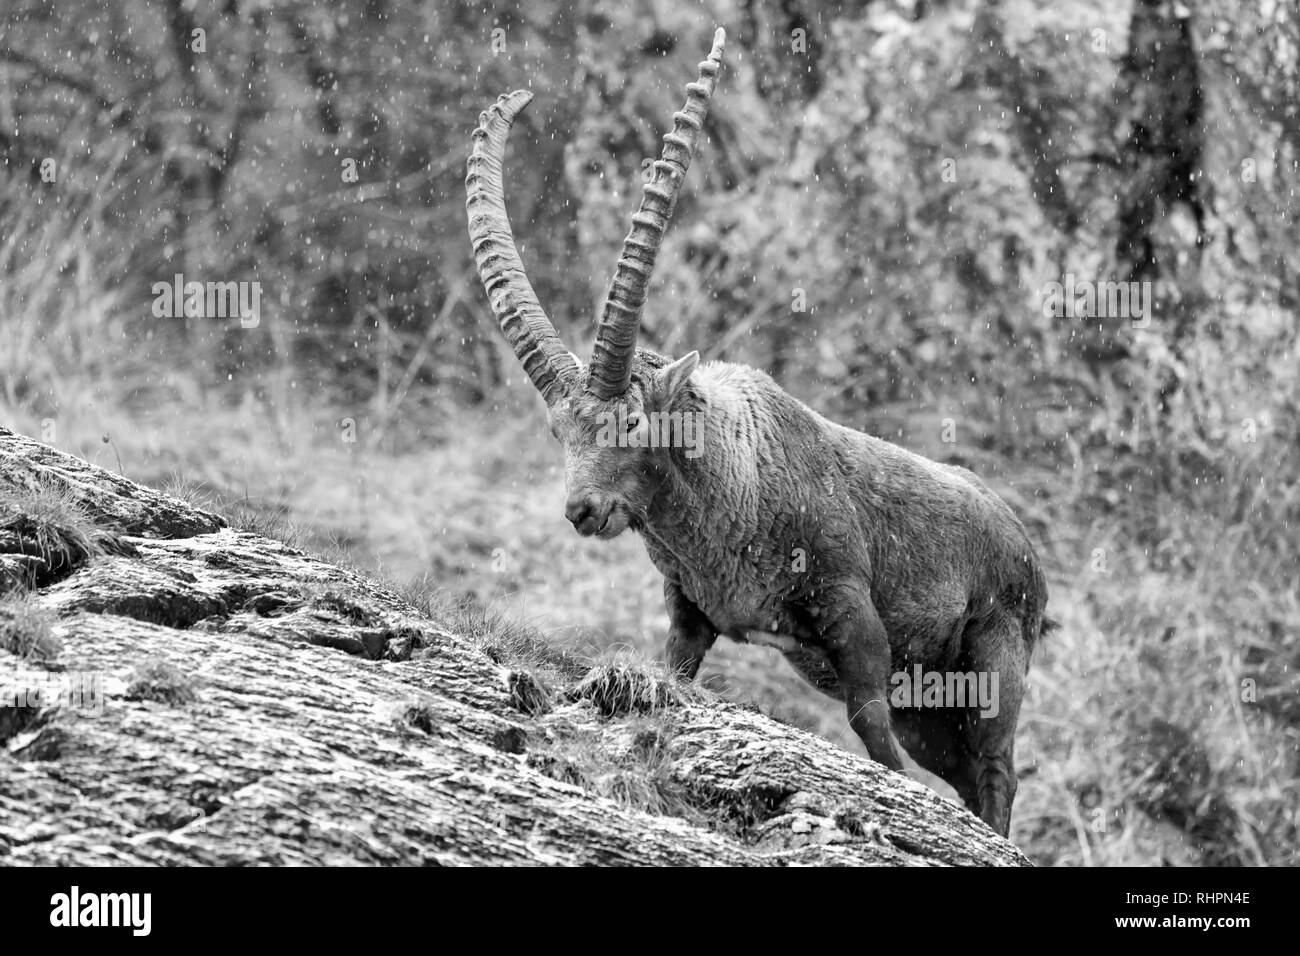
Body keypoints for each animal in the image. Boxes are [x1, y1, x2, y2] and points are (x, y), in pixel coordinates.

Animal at [465, 28, 1051, 837]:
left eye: (633, 420)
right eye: (559, 432)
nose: (582, 510)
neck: (735, 487)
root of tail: (1023, 541)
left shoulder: (850, 607)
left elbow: (867, 722)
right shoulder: (691, 611)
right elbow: (675, 674)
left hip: (995, 655)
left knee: (996, 772)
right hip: (931, 706)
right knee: (963, 770)